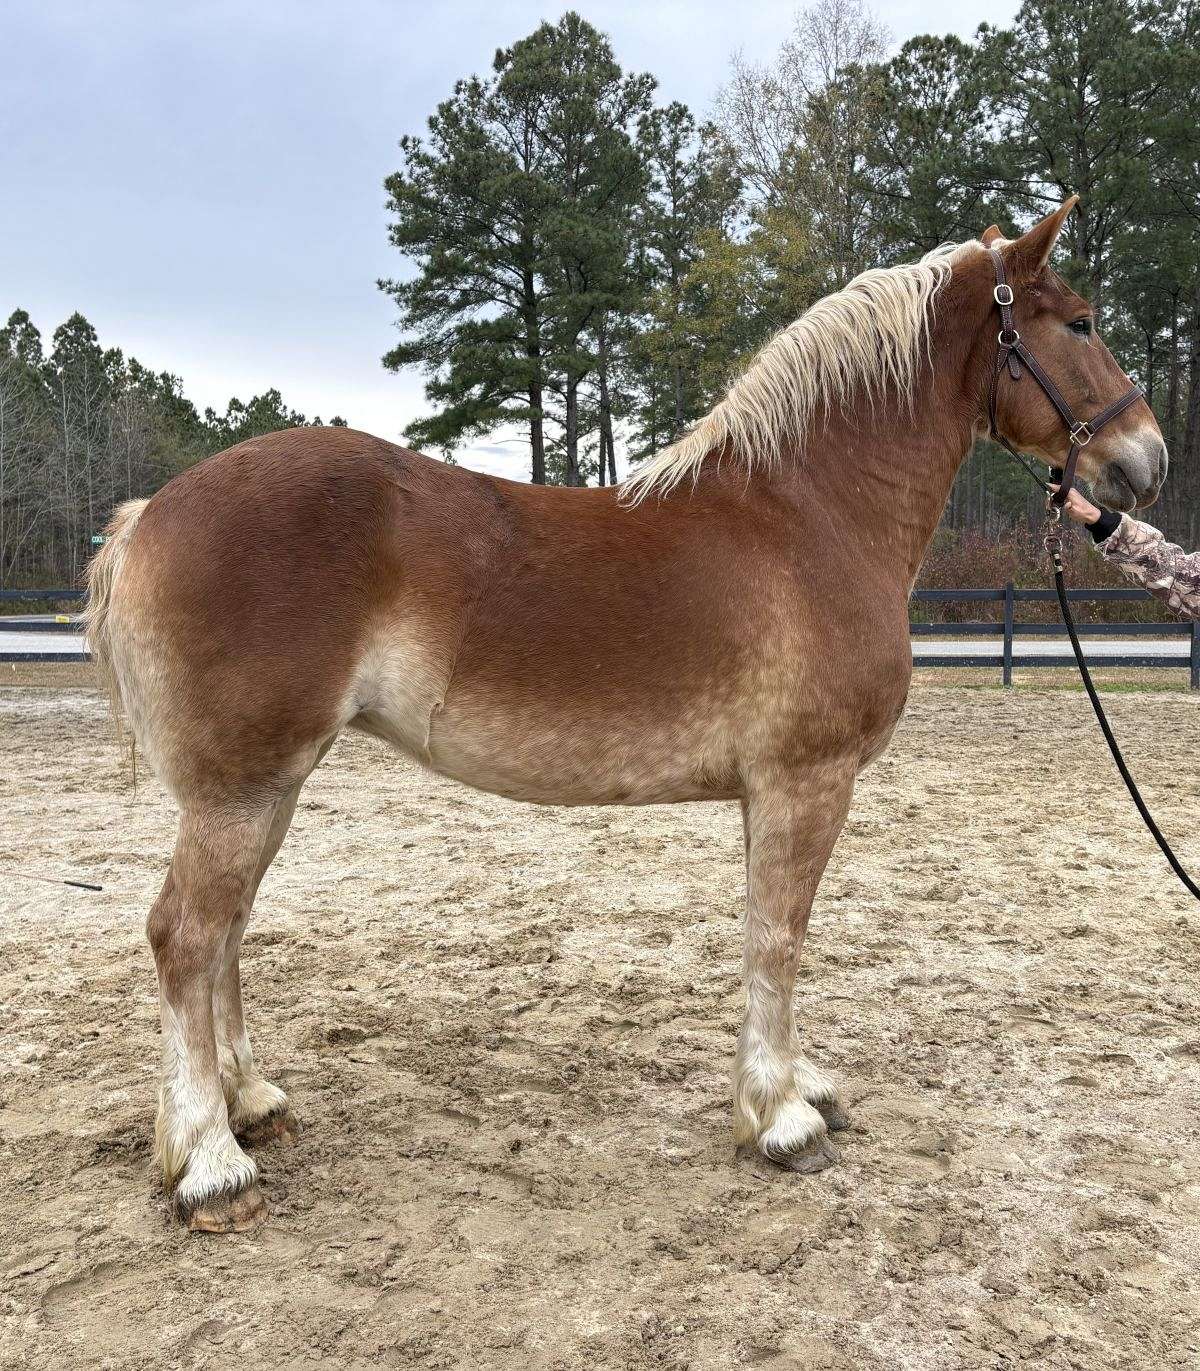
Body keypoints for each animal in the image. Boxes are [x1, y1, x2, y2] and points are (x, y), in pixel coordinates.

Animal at [86, 198, 1165, 1233]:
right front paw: (781, 1120)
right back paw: (211, 1164)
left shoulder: (768, 793)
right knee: (186, 934)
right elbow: (779, 937)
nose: (1145, 461)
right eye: (1081, 321)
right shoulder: (805, 782)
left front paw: (796, 1084)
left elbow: (770, 934)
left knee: (227, 930)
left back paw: (250, 1101)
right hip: (242, 788)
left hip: (268, 787)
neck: (809, 516)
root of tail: (149, 514)